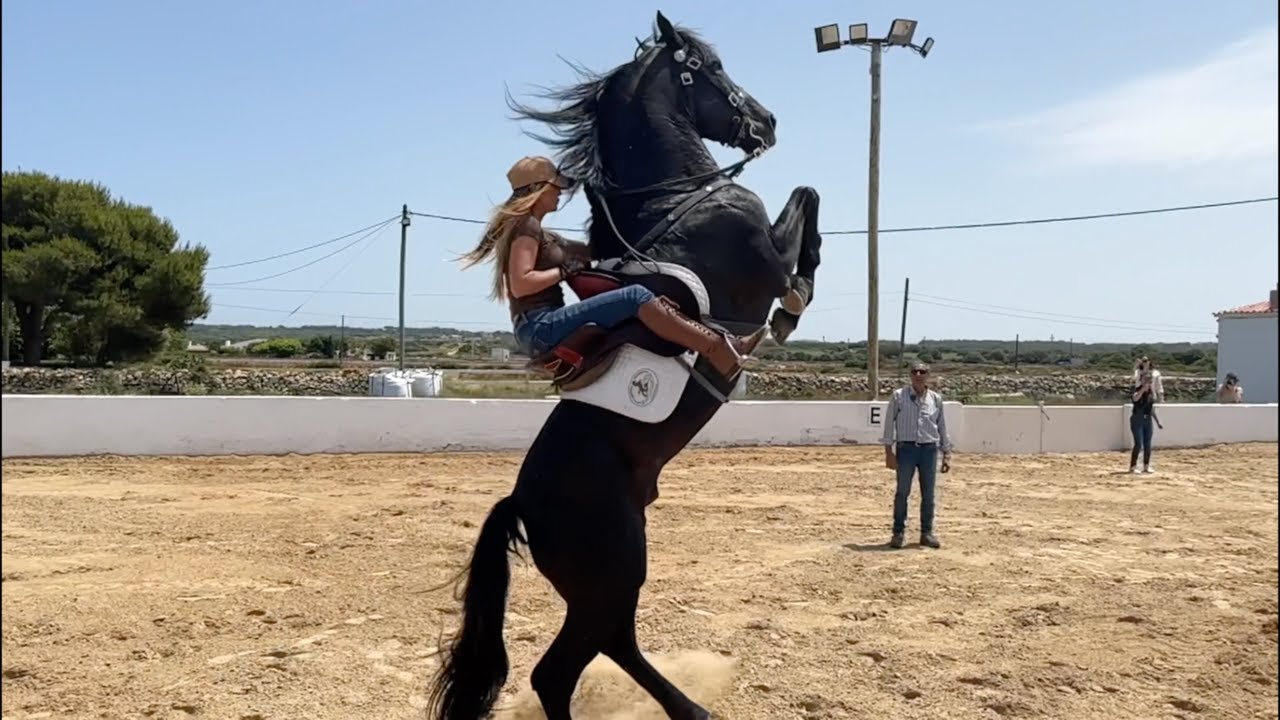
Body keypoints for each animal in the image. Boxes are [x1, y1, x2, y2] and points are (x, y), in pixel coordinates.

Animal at [424, 11, 824, 719]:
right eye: (712, 70)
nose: (767, 120)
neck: (680, 198)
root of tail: (522, 501)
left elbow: (806, 193)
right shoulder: (766, 255)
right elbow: (804, 208)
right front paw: (797, 302)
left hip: (614, 574)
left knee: (614, 643)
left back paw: (691, 708)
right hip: (612, 571)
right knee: (558, 671)